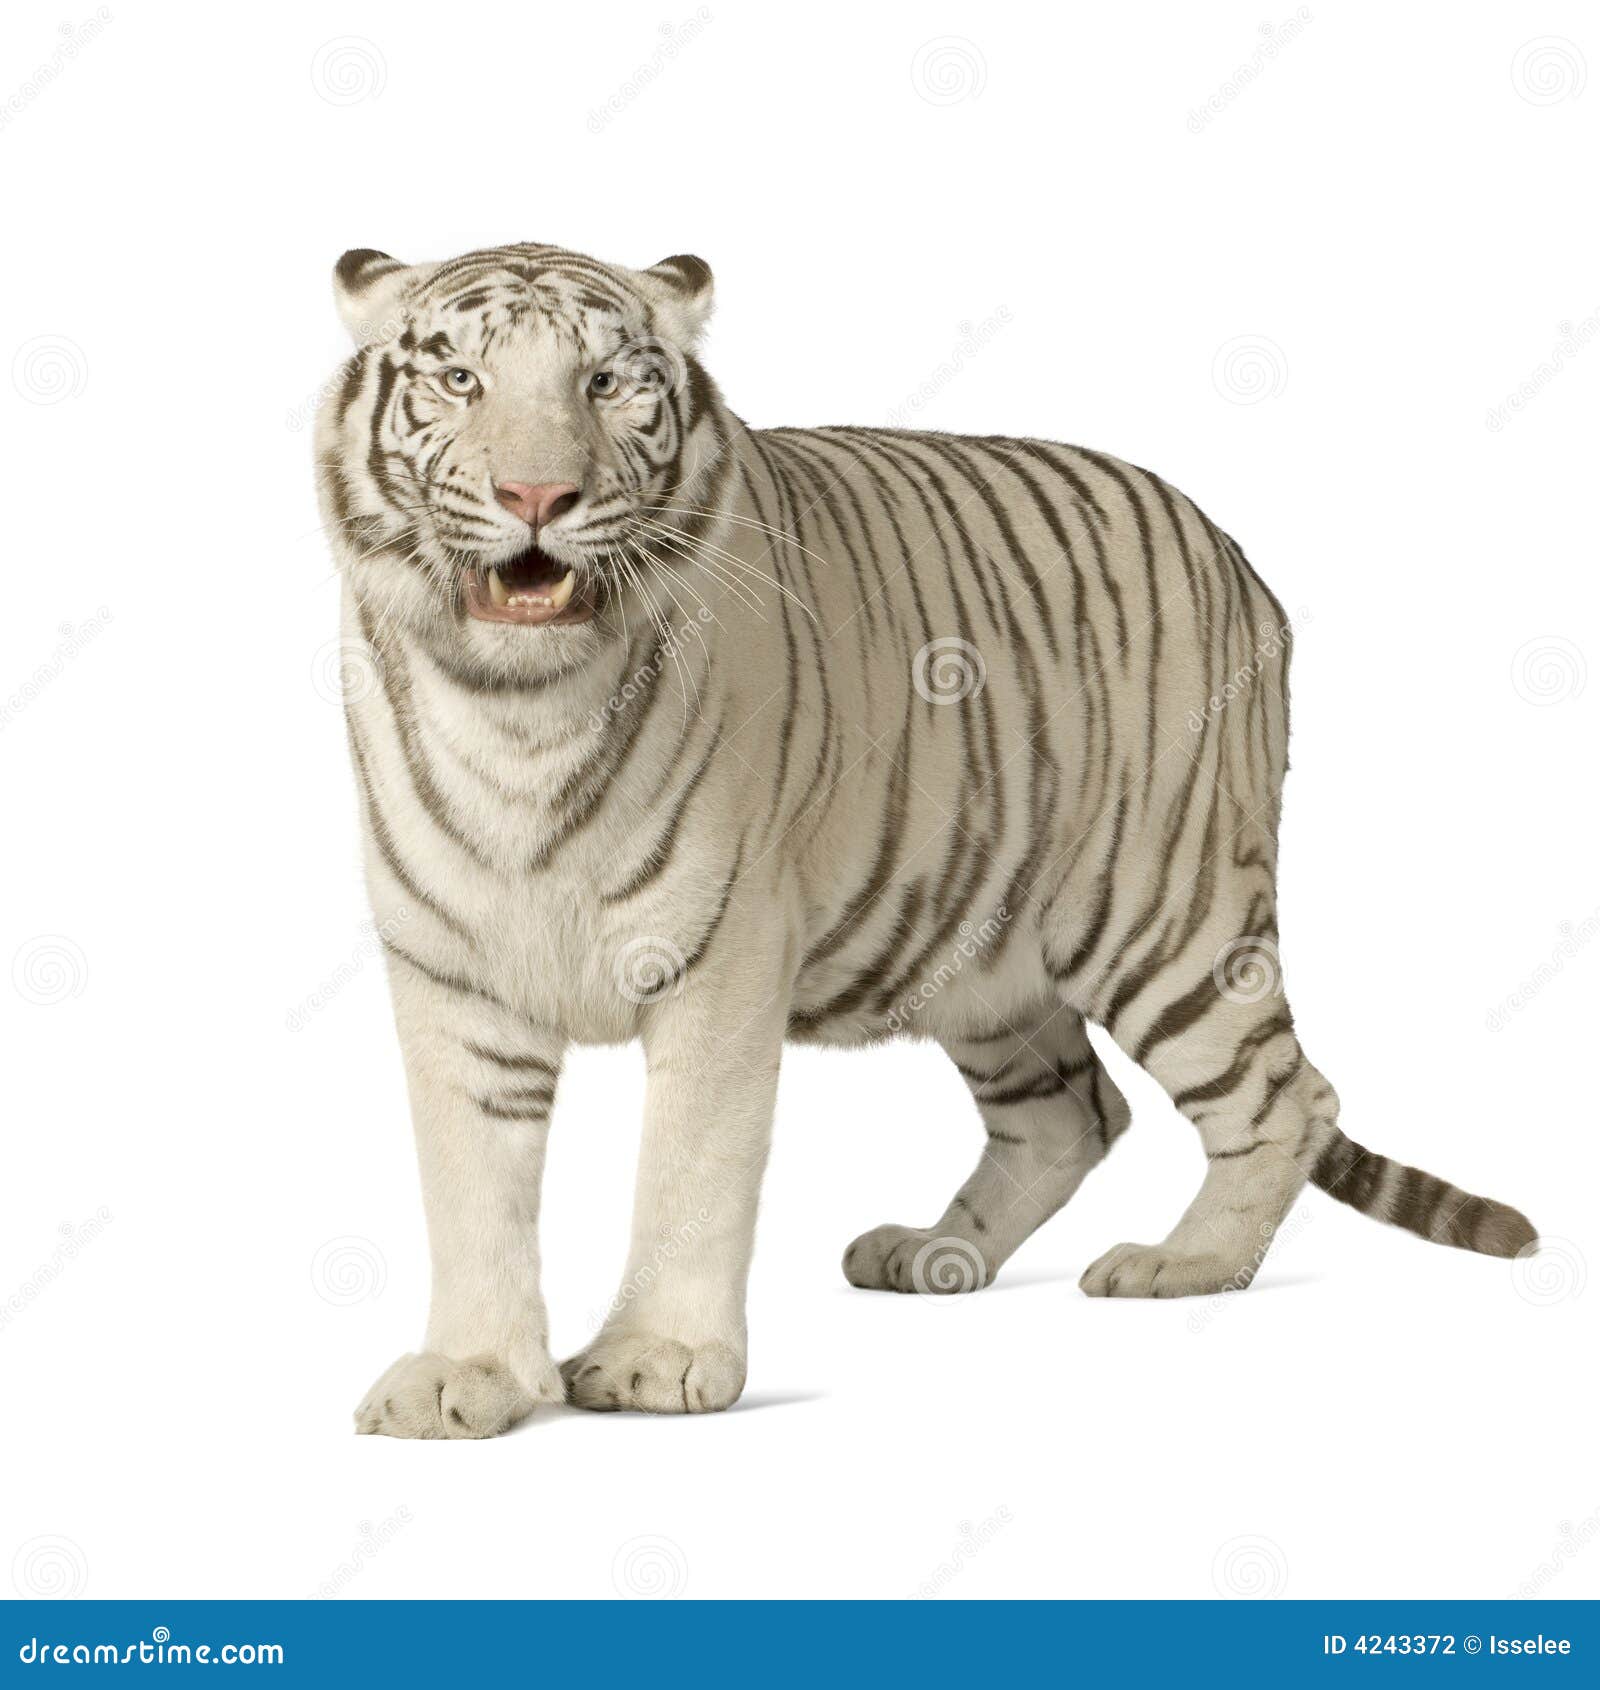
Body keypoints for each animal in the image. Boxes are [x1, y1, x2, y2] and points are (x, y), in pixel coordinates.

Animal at [316, 240, 1537, 1440]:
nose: (536, 493)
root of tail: (1230, 548)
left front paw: (655, 1360)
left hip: (1162, 914)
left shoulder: (721, 959)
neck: (519, 709)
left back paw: (1180, 1263)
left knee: (1289, 1100)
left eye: (607, 383)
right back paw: (935, 1253)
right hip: (974, 946)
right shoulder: (451, 974)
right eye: (460, 379)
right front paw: (464, 1375)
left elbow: (688, 1169)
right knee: (1073, 1111)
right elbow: (471, 1186)